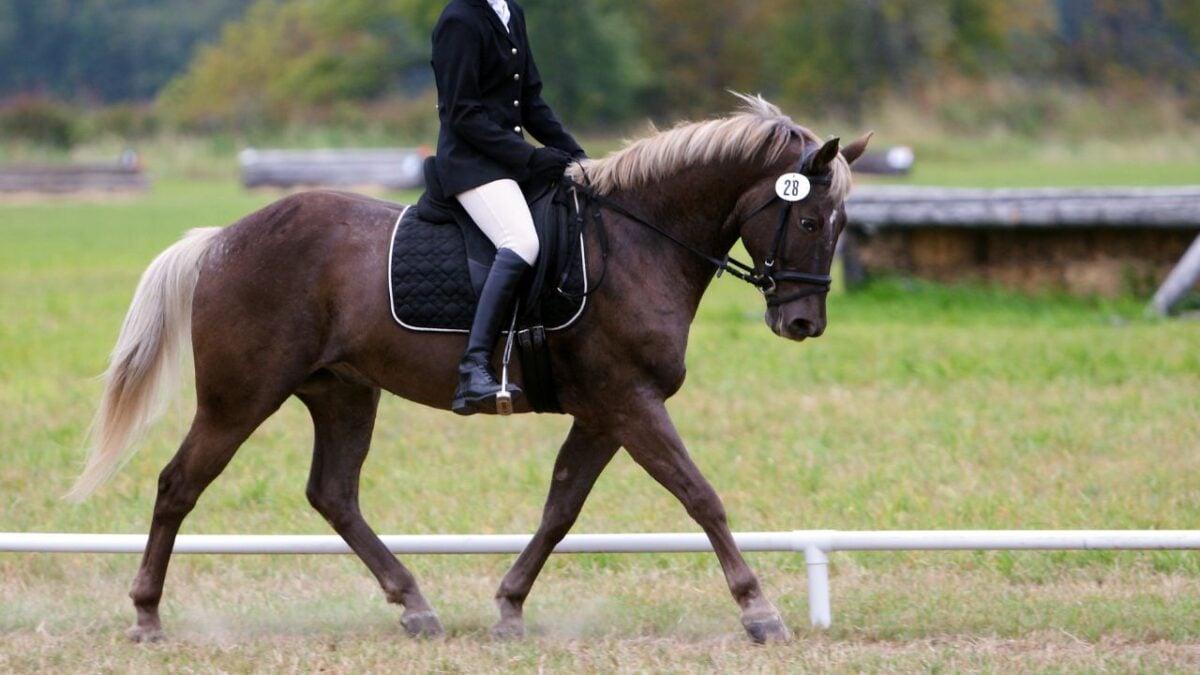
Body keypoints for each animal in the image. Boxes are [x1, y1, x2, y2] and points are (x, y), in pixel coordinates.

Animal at [68, 95, 869, 644]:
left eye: (840, 226)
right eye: (806, 220)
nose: (803, 324)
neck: (638, 241)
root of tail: (221, 239)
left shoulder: (604, 412)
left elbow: (561, 508)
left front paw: (509, 606)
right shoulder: (630, 401)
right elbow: (701, 497)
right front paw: (760, 611)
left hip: (343, 393)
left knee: (333, 494)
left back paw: (416, 605)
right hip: (239, 397)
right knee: (179, 485)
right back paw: (146, 616)